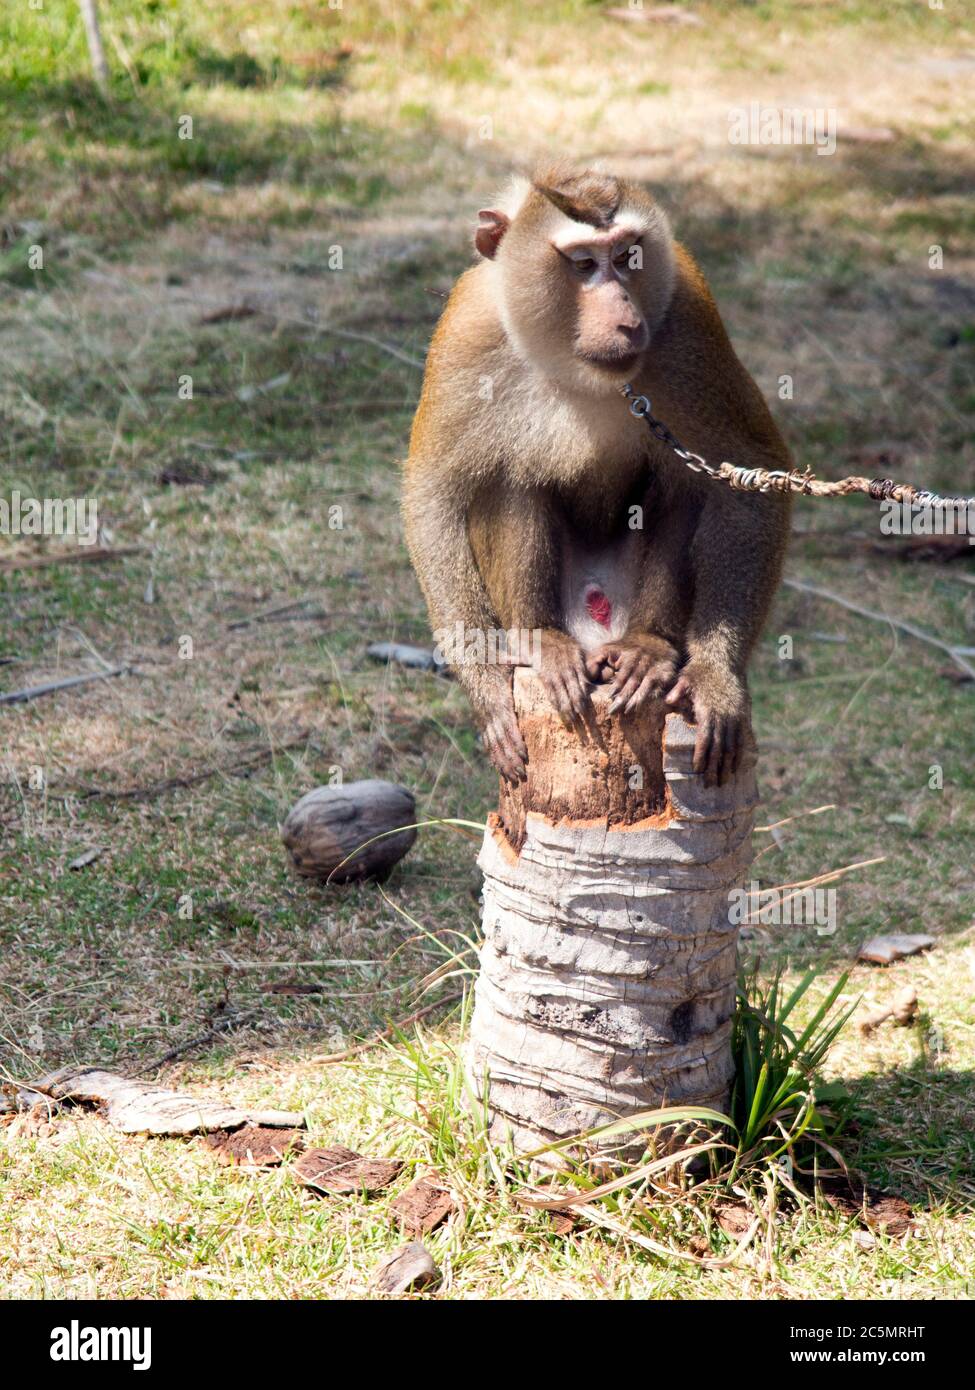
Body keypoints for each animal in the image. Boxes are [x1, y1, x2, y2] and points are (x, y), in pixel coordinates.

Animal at [402, 164, 791, 788]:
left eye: (628, 255)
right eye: (583, 264)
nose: (624, 314)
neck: (569, 363)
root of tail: (596, 629)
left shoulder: (690, 325)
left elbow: (750, 480)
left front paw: (717, 676)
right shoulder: (466, 333)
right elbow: (433, 496)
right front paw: (487, 691)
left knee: (682, 487)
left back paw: (649, 649)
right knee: (510, 477)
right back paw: (542, 640)